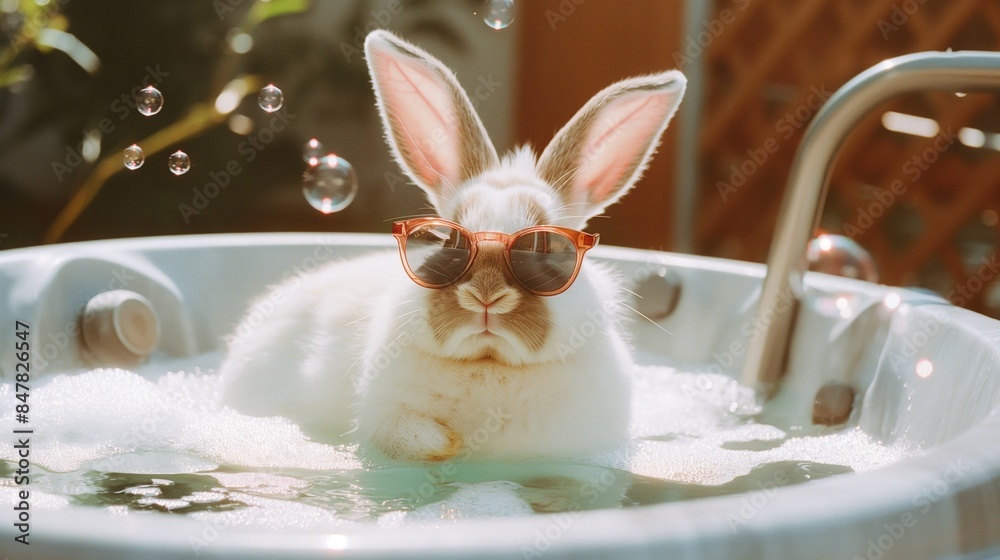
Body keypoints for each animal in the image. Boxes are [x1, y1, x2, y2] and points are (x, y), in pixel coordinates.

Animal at [217, 29, 686, 462]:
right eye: (452, 239)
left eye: (544, 244)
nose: (485, 296)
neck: (489, 364)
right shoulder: (386, 415)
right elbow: (408, 434)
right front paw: (448, 443)